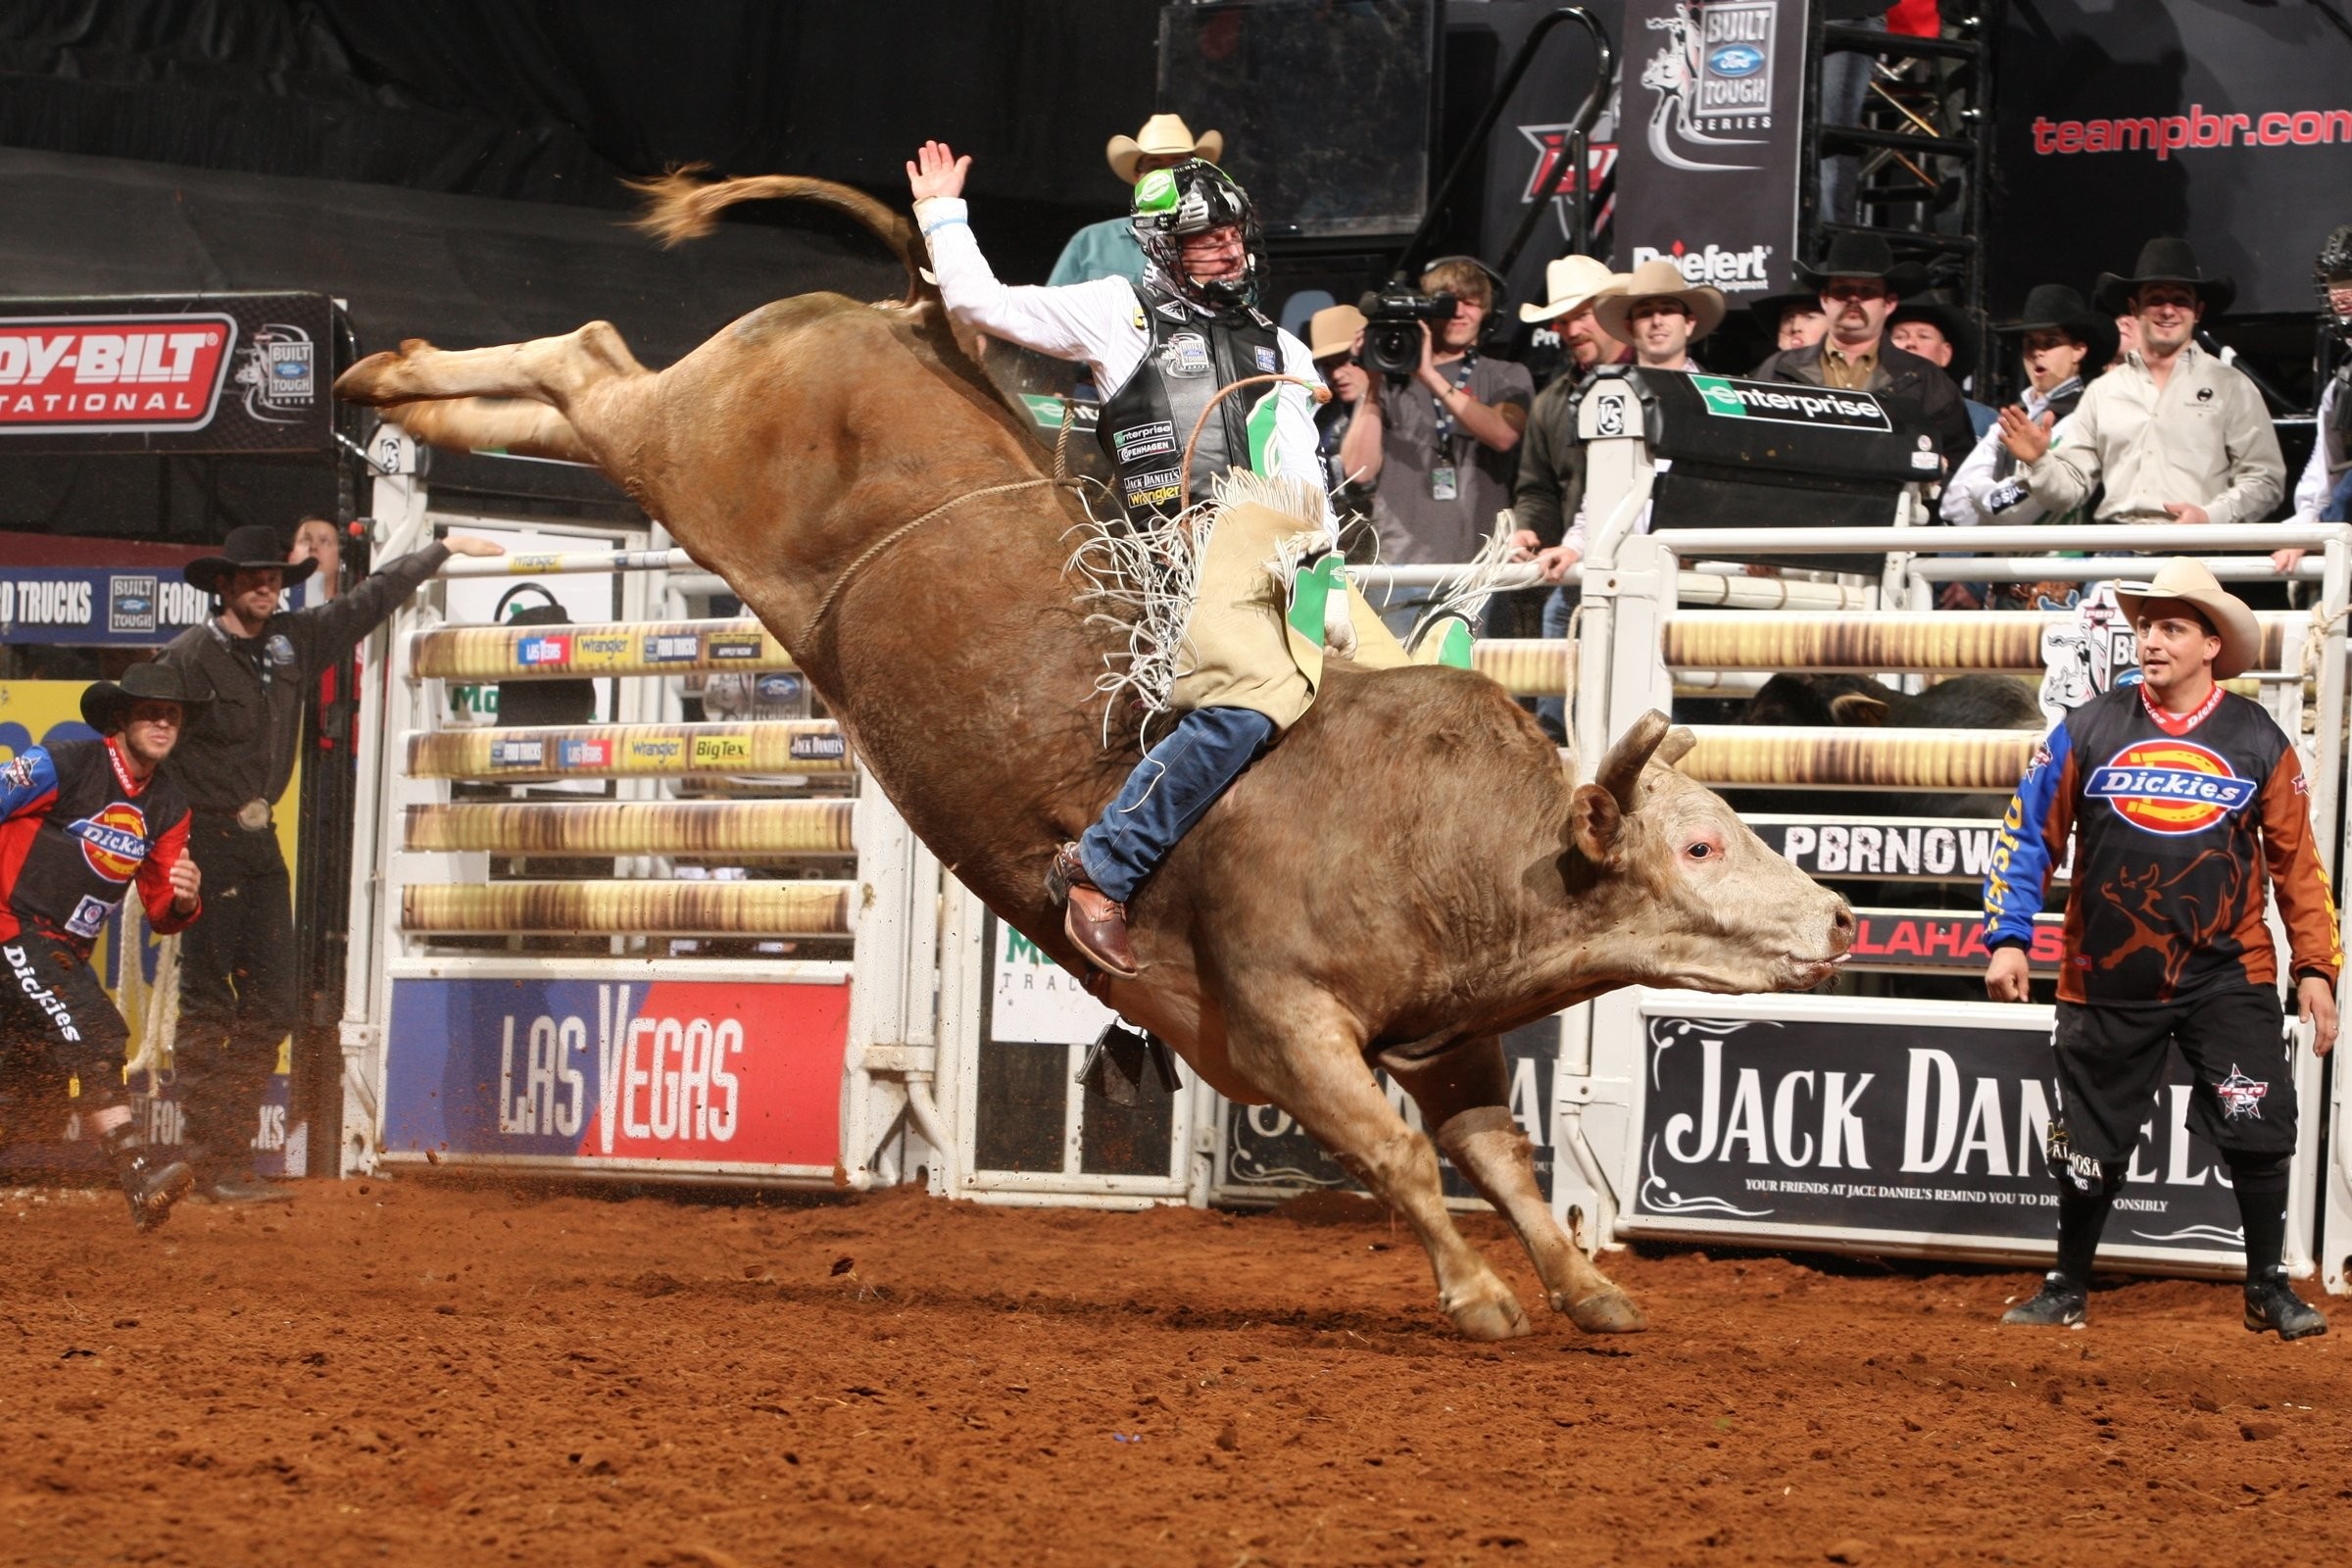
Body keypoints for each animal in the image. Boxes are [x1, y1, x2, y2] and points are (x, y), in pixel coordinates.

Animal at [334, 172, 1853, 1341]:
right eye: (1700, 840)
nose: (1840, 918)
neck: (1454, 841)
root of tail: (908, 320)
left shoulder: (1453, 1035)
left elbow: (1505, 1158)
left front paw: (1589, 1294)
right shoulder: (1283, 1026)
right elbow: (1395, 1154)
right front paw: (1478, 1300)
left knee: (578, 372)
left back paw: (395, 386)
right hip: (693, 451)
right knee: (589, 362)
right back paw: (388, 377)